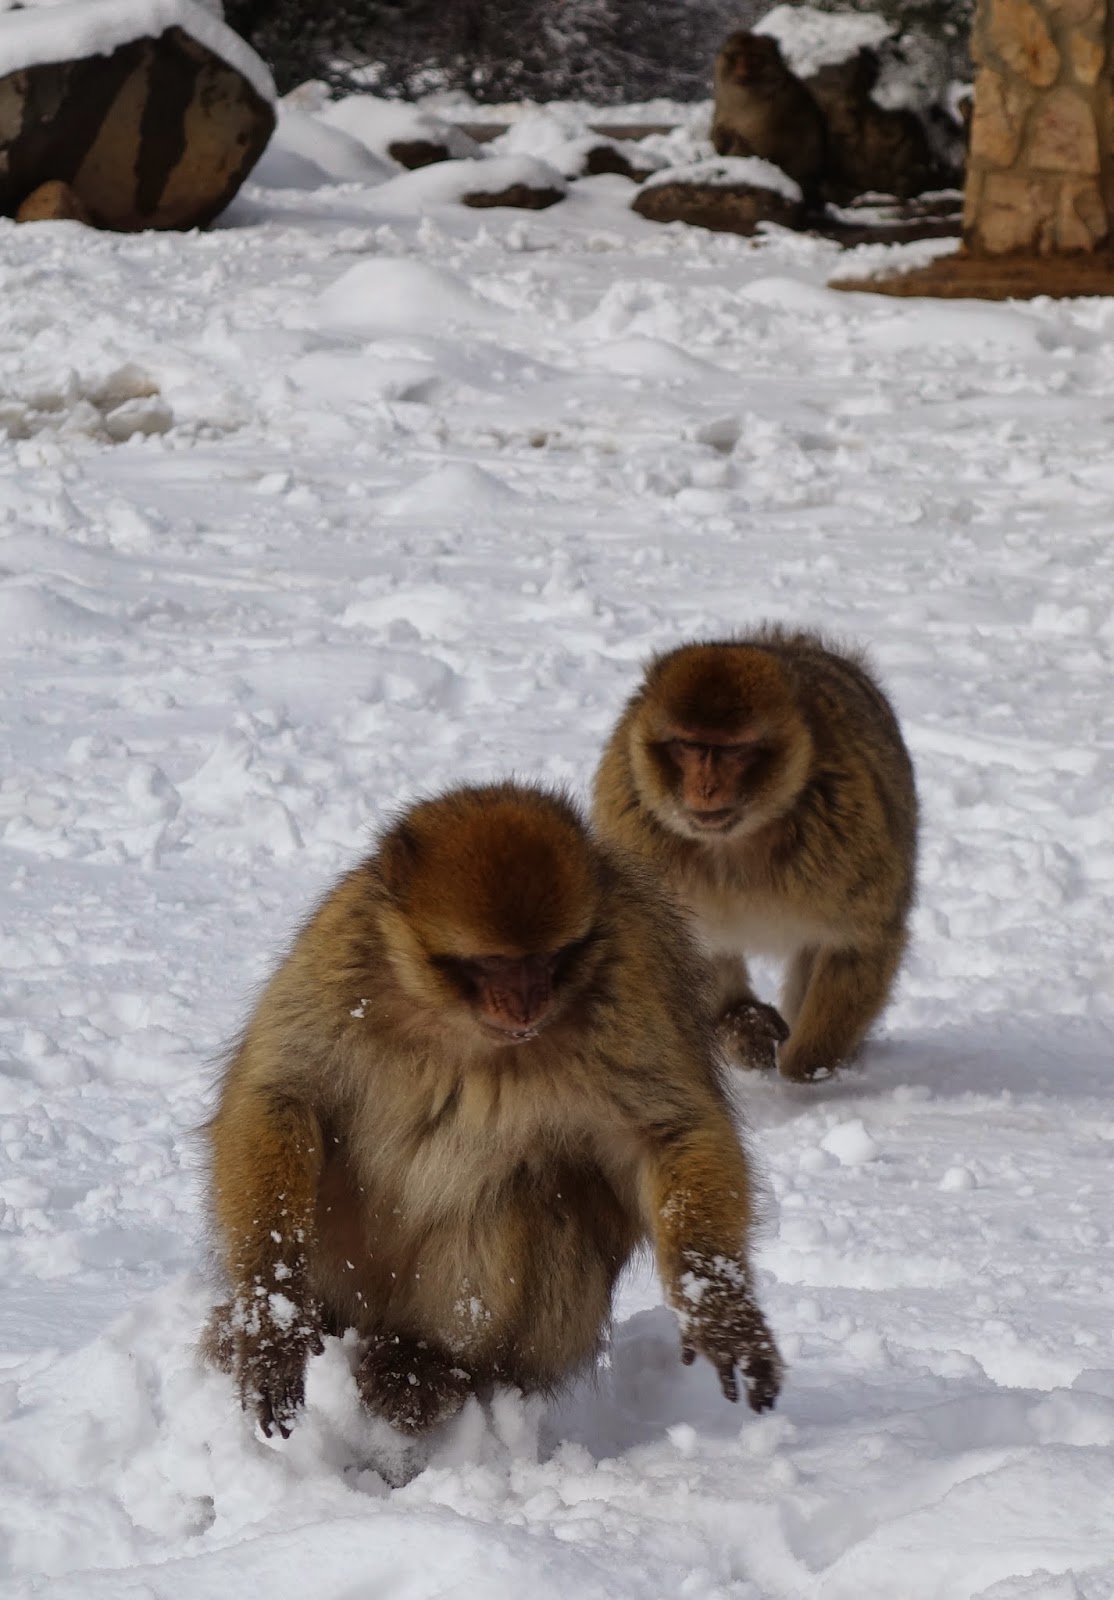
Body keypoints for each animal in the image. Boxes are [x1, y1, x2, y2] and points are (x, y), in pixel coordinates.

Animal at [203, 782, 783, 1441]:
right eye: (491, 964)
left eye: (549, 960)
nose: (526, 1002)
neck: (460, 1026)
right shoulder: (340, 954)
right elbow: (282, 1096)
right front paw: (270, 1323)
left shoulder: (629, 985)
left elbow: (669, 1135)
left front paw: (720, 1306)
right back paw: (309, 1327)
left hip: (547, 1337)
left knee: (528, 1198)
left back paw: (424, 1364)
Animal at [592, 630, 917, 1084]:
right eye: (689, 745)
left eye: (732, 751)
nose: (706, 788)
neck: (735, 841)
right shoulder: (637, 838)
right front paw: (744, 1025)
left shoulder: (848, 832)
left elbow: (860, 942)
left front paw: (808, 1061)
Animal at [710, 31, 828, 205]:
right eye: (737, 56)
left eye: (753, 59)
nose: (741, 72)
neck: (747, 101)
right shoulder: (723, 104)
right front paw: (721, 137)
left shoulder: (778, 110)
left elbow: (759, 151)